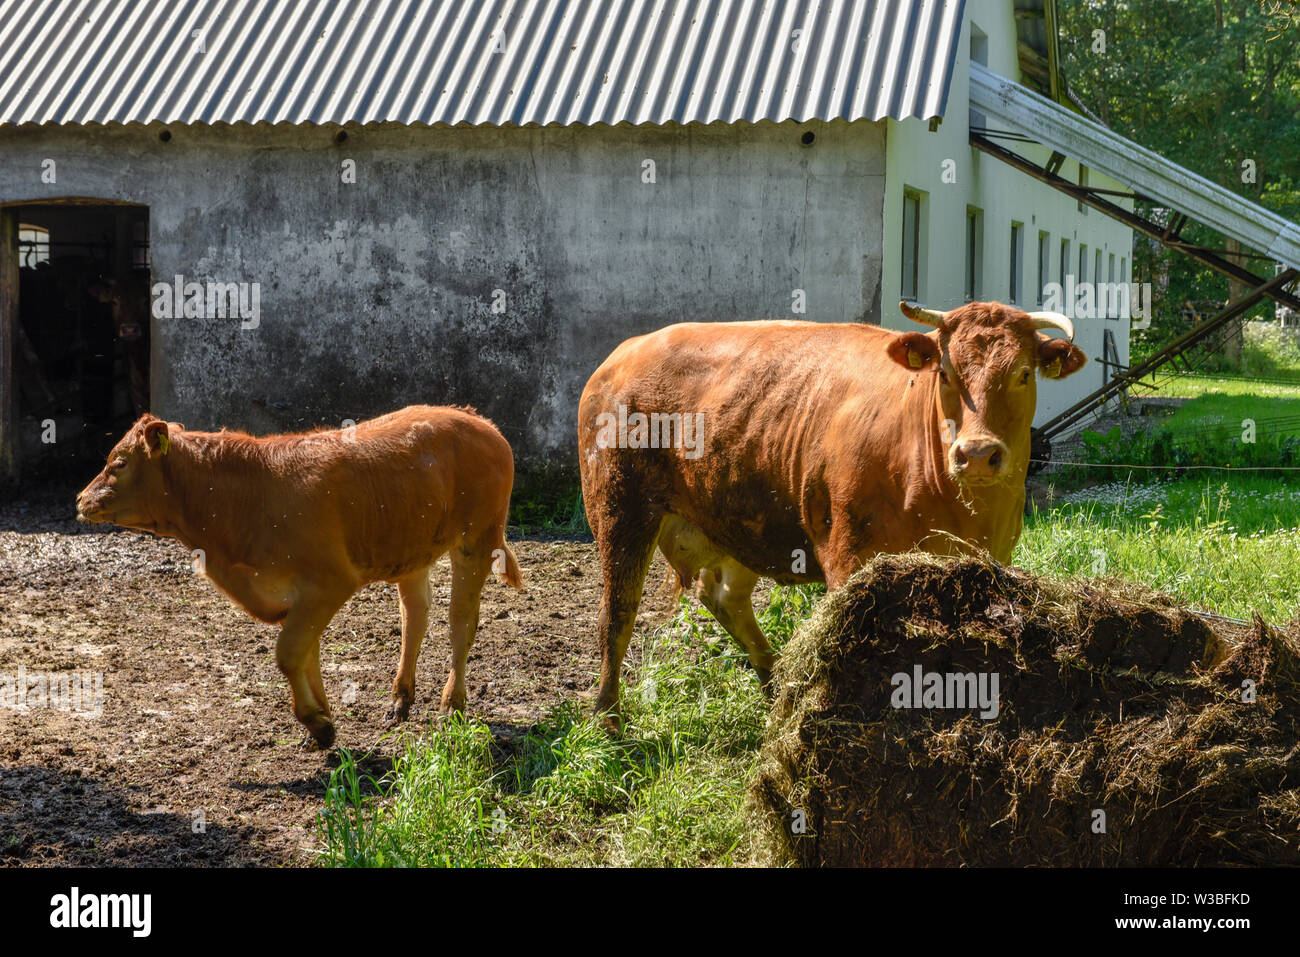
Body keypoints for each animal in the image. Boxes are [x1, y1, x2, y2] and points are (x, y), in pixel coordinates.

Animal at [75, 405, 524, 748]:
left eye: (118, 462)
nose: (80, 499)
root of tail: (481, 422)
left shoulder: (330, 581)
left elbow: (289, 652)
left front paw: (317, 723)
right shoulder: (295, 594)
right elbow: (306, 652)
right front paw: (321, 719)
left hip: (477, 539)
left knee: (461, 621)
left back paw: (452, 704)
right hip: (412, 550)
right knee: (415, 617)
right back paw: (400, 700)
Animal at [577, 300, 1085, 730]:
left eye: (1024, 374)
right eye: (944, 373)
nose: (977, 454)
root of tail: (624, 353)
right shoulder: (848, 558)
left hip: (743, 519)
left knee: (724, 597)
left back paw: (775, 687)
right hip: (620, 511)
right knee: (616, 616)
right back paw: (608, 719)